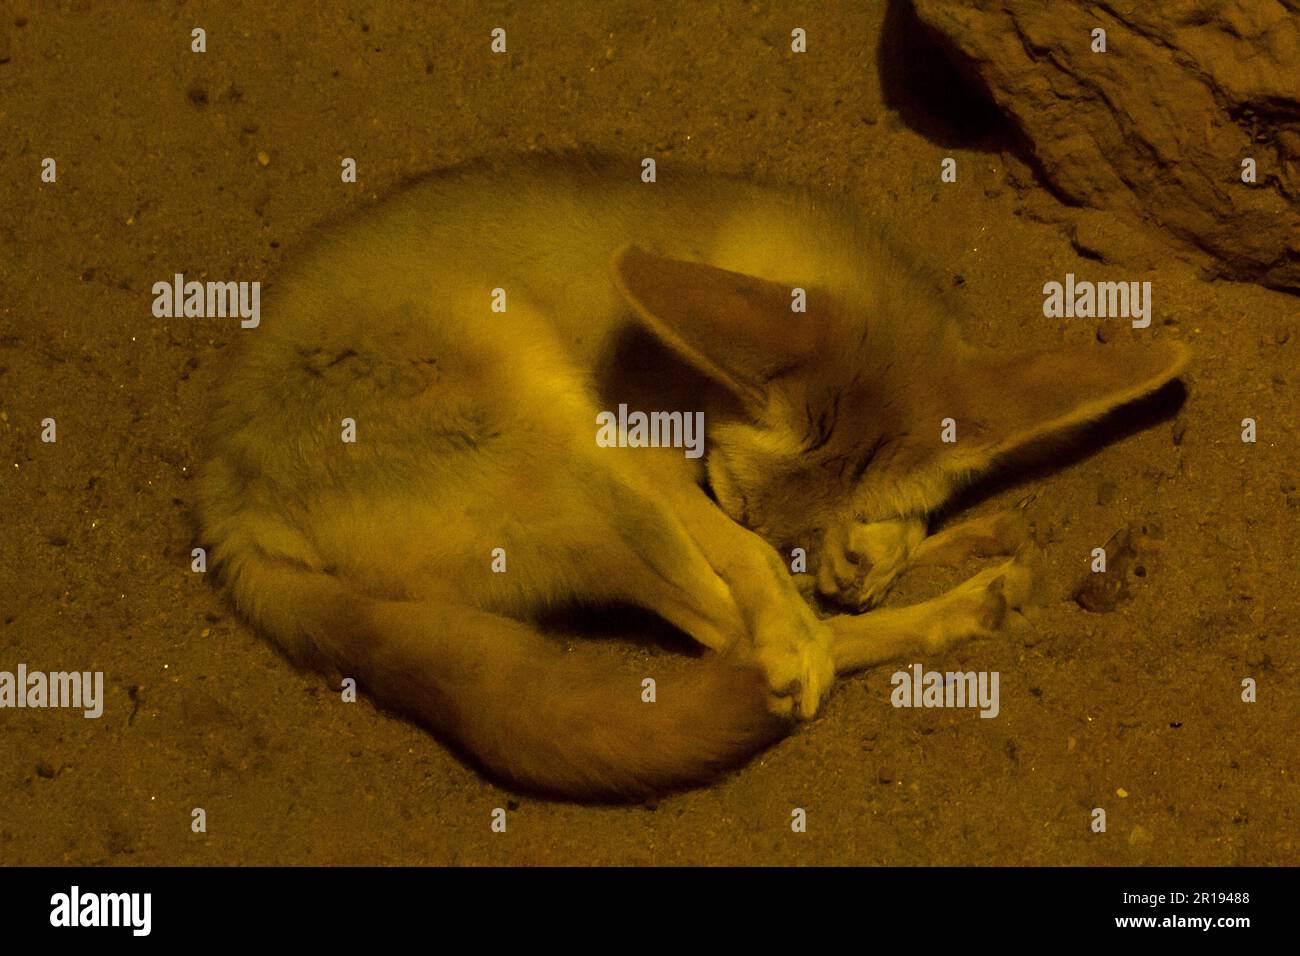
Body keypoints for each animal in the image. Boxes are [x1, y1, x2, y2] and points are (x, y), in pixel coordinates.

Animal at [195, 152, 1189, 800]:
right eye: (734, 494)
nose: (821, 568)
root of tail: (229, 501)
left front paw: (874, 548)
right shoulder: (662, 454)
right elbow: (749, 562)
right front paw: (813, 605)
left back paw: (961, 581)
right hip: (559, 423)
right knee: (728, 635)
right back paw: (893, 619)